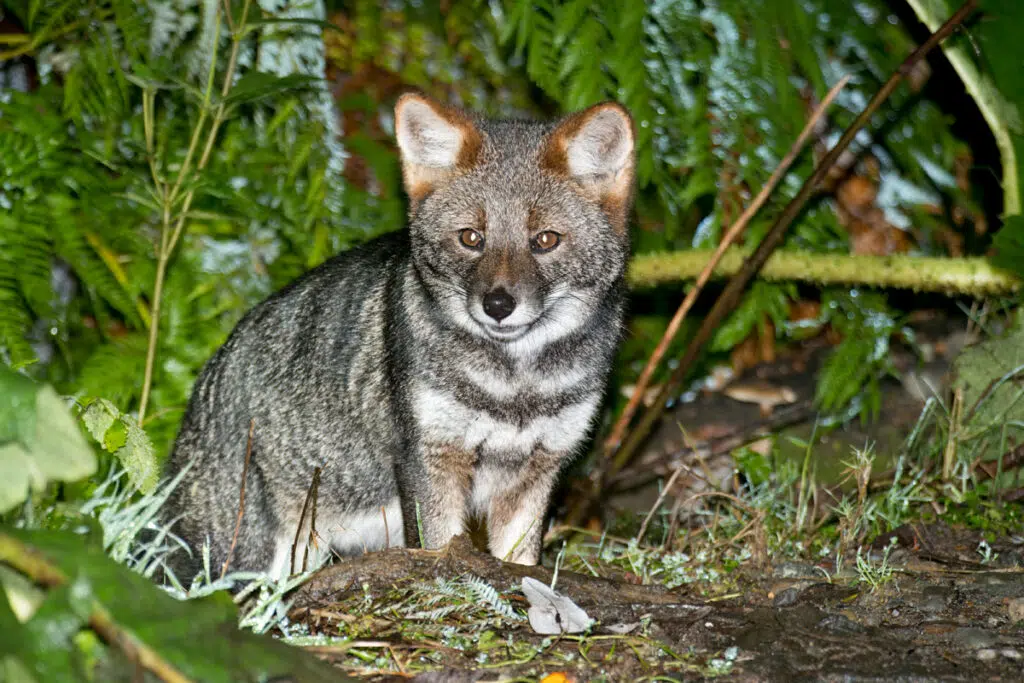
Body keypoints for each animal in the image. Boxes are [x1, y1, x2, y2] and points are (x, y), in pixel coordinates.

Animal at [162, 93, 635, 580]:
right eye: (471, 238)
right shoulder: (428, 461)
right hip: (259, 557)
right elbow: (441, 554)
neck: (515, 387)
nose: (498, 305)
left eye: (545, 240)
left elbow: (519, 565)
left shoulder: (536, 470)